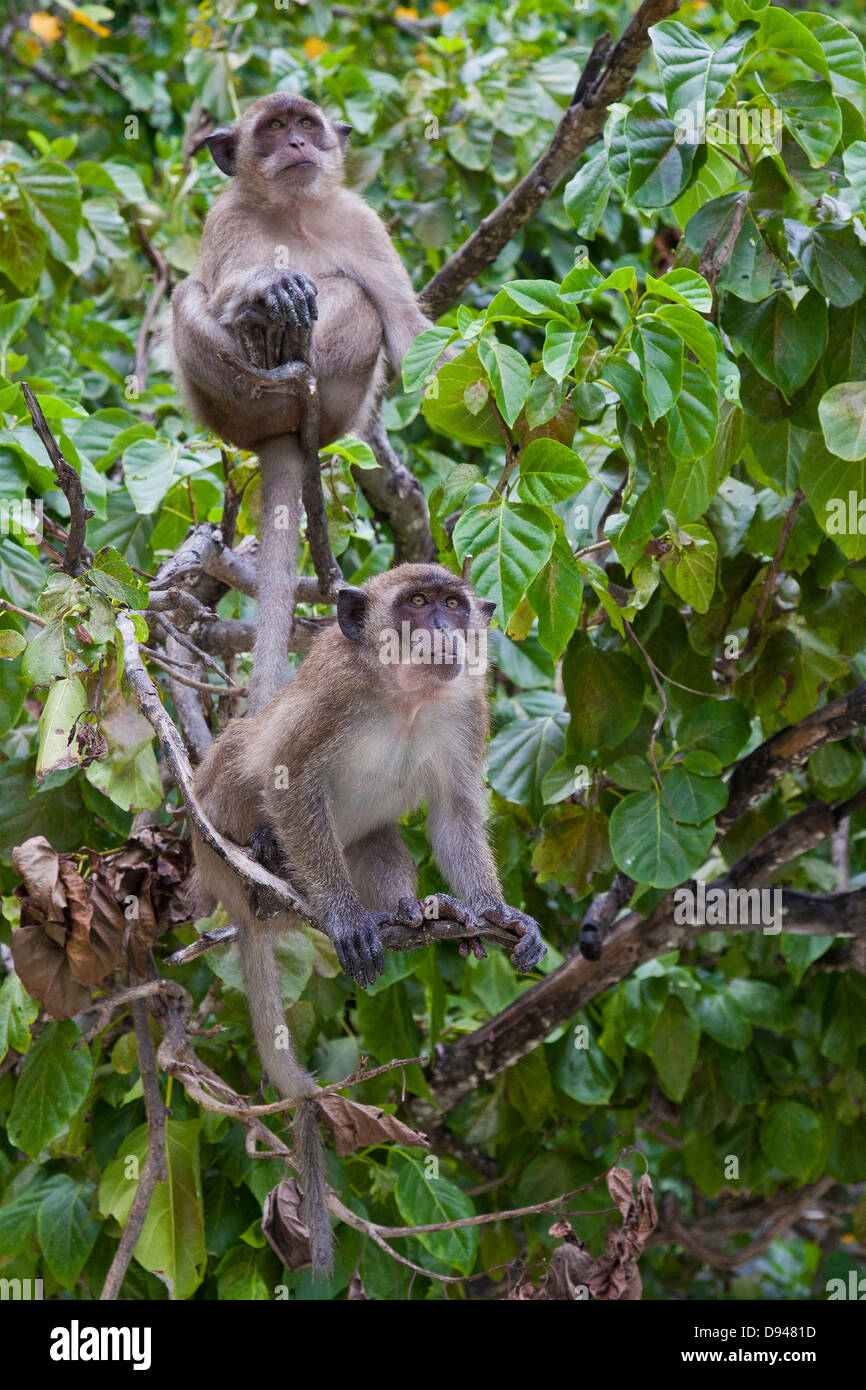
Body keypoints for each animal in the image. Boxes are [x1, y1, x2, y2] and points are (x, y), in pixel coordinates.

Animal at [171, 92, 435, 713]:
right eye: (273, 127)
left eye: (306, 126)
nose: (295, 143)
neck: (291, 211)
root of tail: (283, 431)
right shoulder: (226, 216)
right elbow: (219, 292)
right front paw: (263, 287)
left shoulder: (360, 221)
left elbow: (406, 331)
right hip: (222, 413)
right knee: (188, 295)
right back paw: (260, 354)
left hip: (339, 408)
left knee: (356, 297)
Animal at [190, 563, 547, 1276]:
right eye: (417, 602)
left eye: (453, 603)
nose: (442, 627)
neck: (405, 696)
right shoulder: (333, 692)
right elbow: (287, 775)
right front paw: (345, 918)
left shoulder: (468, 703)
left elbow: (456, 810)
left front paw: (493, 913)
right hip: (210, 832)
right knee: (247, 747)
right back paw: (270, 867)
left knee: (380, 841)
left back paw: (421, 912)